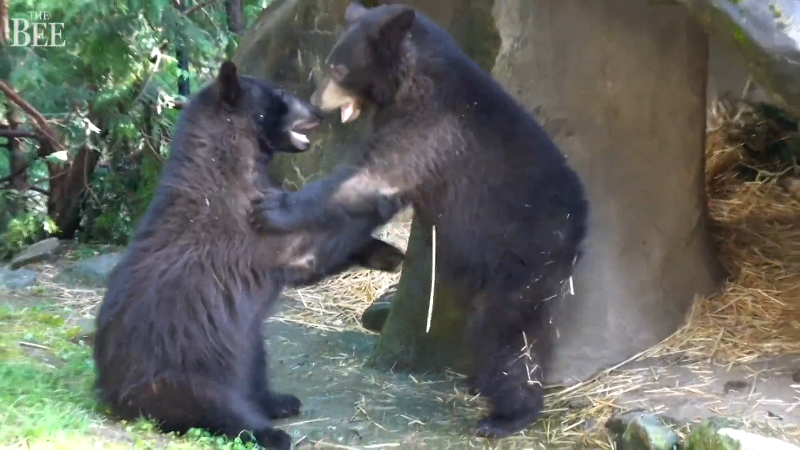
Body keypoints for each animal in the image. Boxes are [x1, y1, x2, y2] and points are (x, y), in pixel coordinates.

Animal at [92, 60, 404, 450]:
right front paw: (386, 198)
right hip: (183, 368)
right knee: (216, 405)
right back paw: (268, 431)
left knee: (254, 372)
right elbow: (306, 248)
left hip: (246, 345)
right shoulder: (247, 227)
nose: (317, 112)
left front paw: (387, 253)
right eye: (280, 94)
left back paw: (278, 400)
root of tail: (110, 390)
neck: (231, 162)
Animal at [252, 3, 590, 439]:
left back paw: (508, 414)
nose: (315, 101)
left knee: (507, 333)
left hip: (526, 259)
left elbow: (366, 181)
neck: (411, 83)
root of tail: (579, 227)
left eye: (338, 68)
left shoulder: (430, 132)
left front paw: (274, 207)